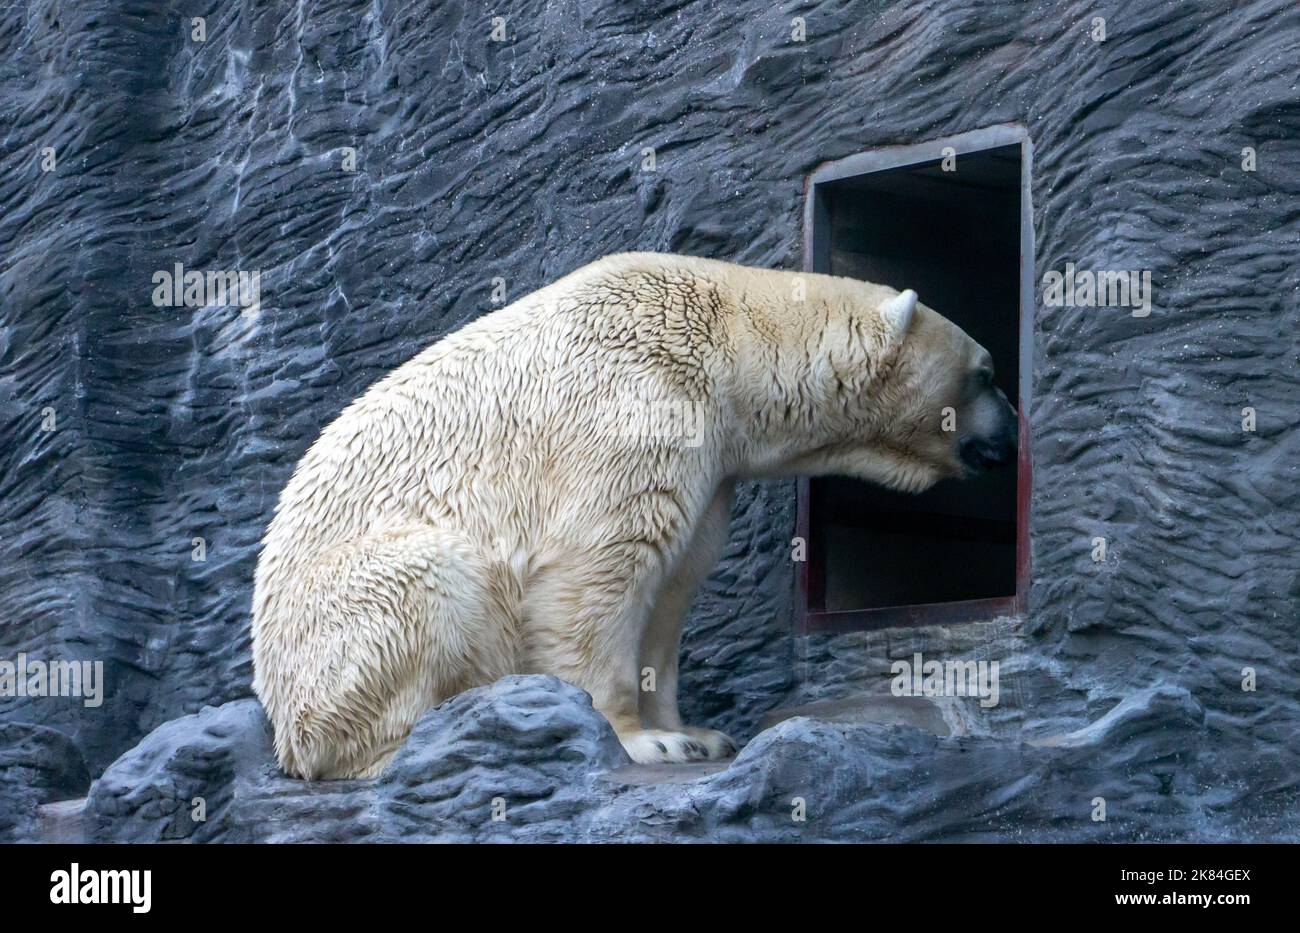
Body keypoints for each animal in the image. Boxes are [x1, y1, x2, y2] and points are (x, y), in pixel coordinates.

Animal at [251, 252, 1017, 779]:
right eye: (986, 372)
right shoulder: (640, 402)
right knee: (427, 579)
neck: (727, 337)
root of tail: (280, 714)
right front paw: (642, 740)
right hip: (338, 625)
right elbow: (598, 570)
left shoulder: (711, 465)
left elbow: (673, 583)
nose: (1014, 433)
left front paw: (697, 734)